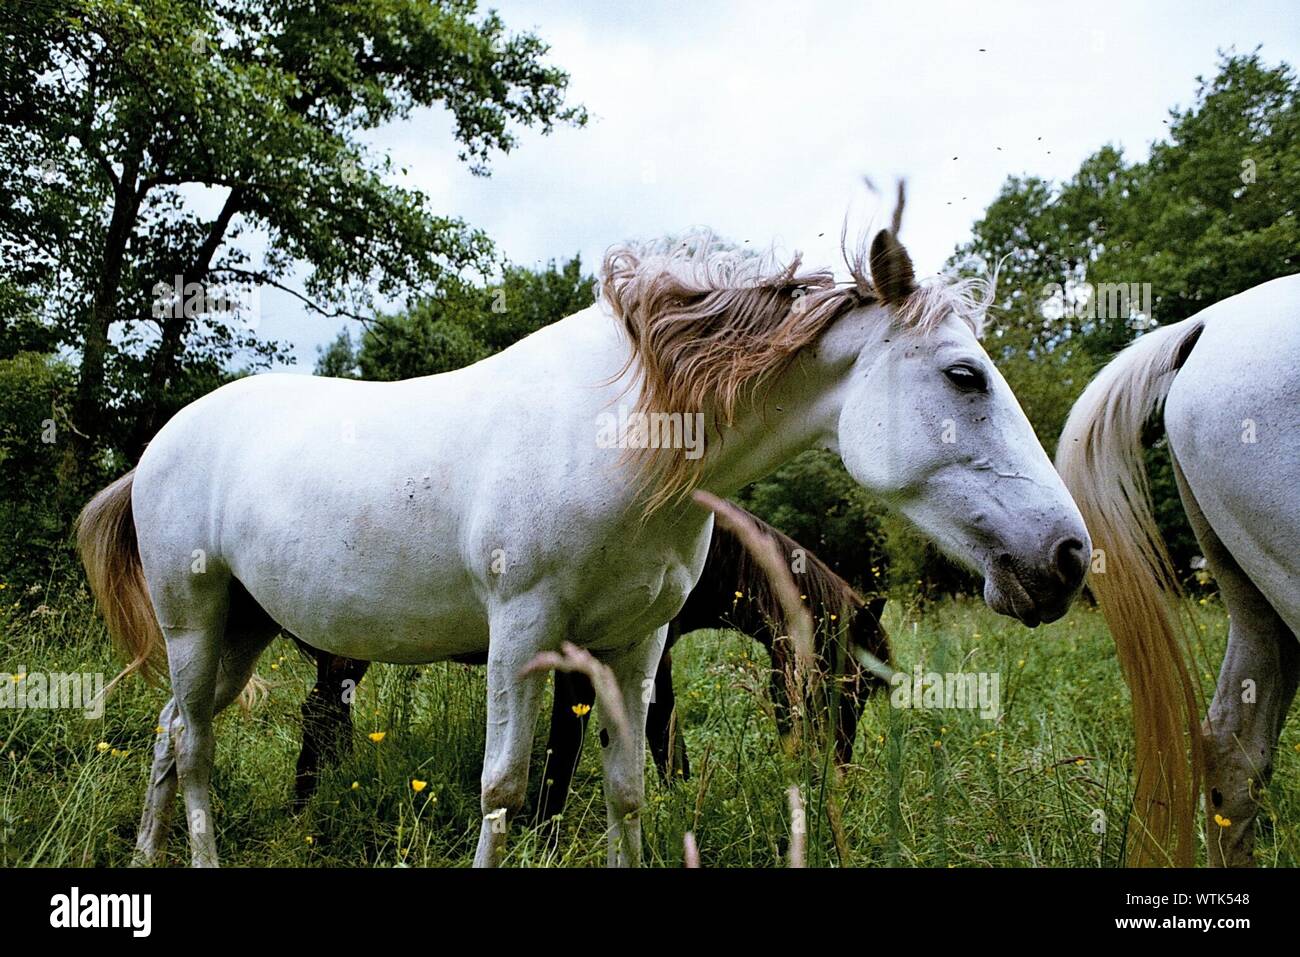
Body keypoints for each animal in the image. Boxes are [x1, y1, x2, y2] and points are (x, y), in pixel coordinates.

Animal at [287, 505, 892, 818]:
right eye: (853, 685)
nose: (838, 774)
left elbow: (663, 734)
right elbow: (591, 738)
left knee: (330, 718)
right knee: (319, 714)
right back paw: (303, 807)